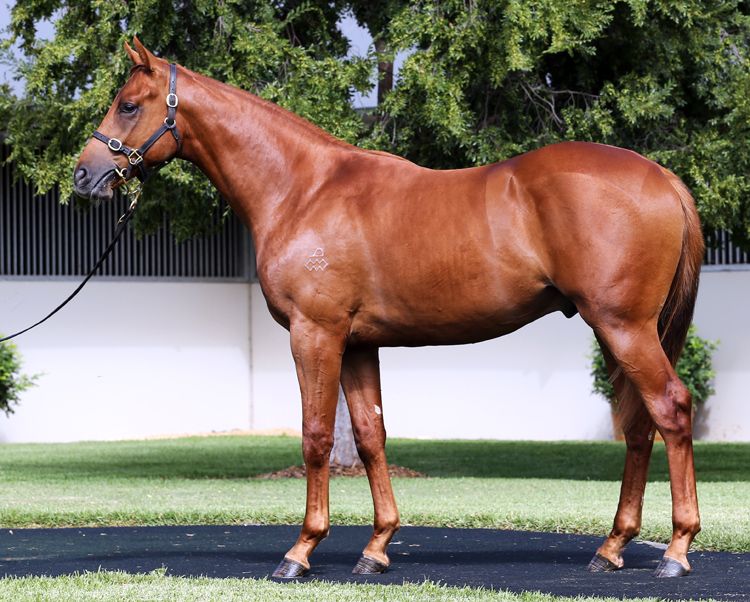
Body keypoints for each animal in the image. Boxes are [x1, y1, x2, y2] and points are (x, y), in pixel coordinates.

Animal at [73, 38, 704, 579]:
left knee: (670, 410)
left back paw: (675, 550)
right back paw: (612, 546)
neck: (303, 189)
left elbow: (316, 436)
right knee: (640, 425)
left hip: (623, 327)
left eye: (128, 105)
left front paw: (301, 550)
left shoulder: (315, 335)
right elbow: (370, 435)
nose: (84, 175)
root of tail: (661, 177)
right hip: (621, 331)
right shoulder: (358, 344)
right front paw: (376, 548)